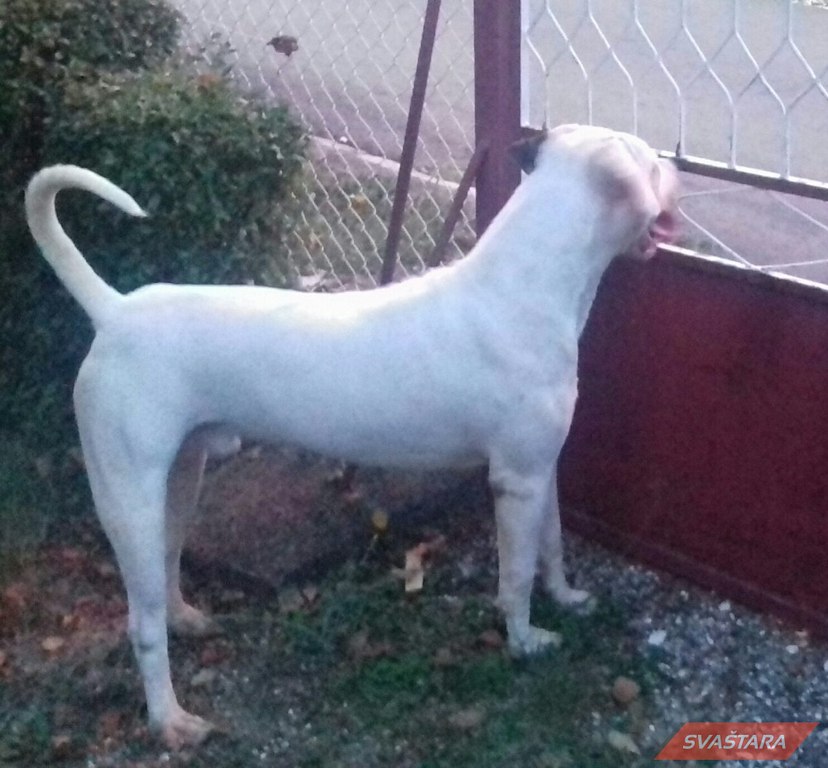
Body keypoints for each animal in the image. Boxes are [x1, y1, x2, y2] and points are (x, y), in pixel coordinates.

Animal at [25, 123, 676, 748]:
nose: (674, 162)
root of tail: (115, 313)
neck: (526, 287)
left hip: (181, 477)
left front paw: (566, 600)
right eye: (649, 161)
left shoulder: (541, 471)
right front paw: (524, 641)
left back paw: (184, 620)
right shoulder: (515, 482)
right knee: (140, 621)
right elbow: (515, 576)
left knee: (165, 565)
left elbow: (553, 544)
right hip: (127, 494)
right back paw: (170, 721)